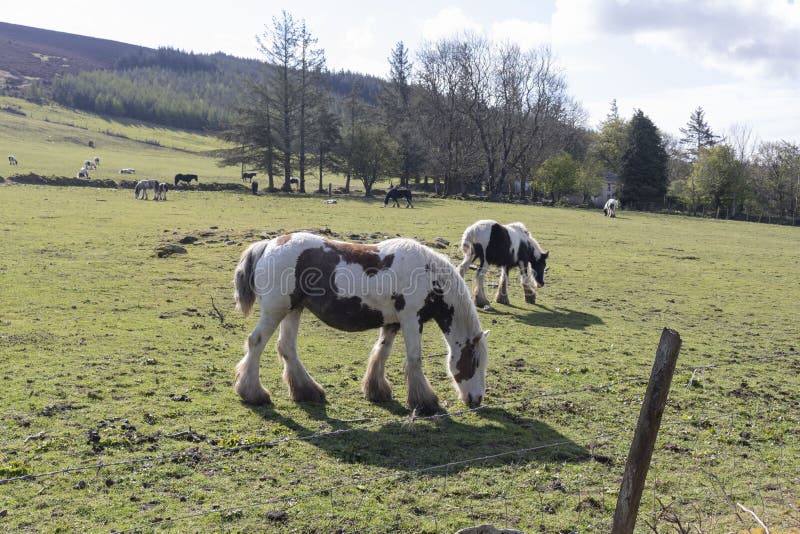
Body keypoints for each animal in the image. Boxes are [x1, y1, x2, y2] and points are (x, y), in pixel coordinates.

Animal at [233, 232, 489, 415]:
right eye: (475, 362)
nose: (477, 399)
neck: (428, 274)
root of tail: (269, 245)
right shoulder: (411, 320)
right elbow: (414, 359)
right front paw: (426, 402)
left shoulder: (392, 323)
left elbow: (381, 352)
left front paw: (376, 390)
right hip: (275, 311)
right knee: (256, 343)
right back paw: (253, 394)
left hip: (293, 310)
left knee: (286, 348)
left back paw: (307, 391)